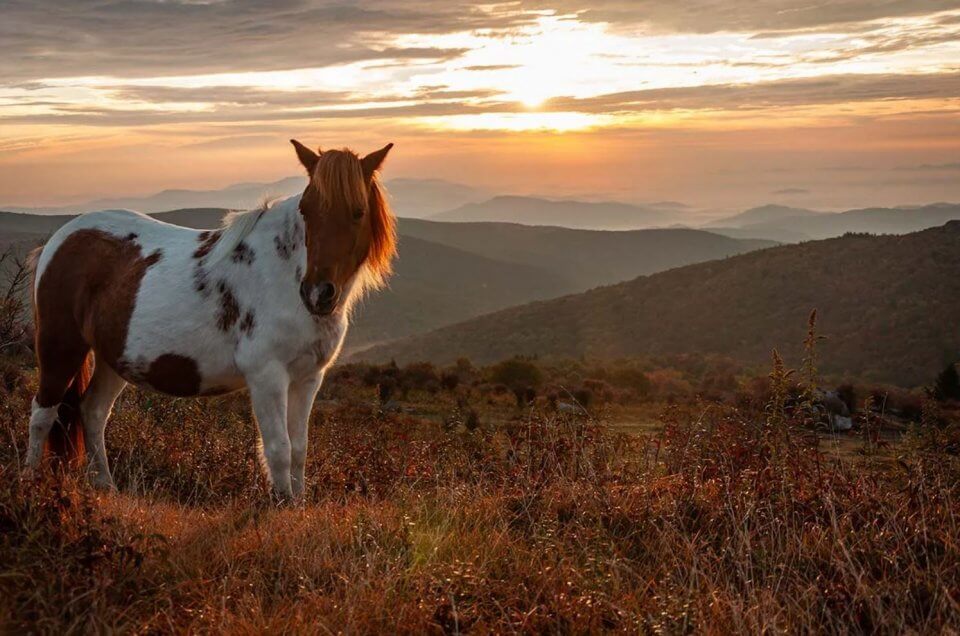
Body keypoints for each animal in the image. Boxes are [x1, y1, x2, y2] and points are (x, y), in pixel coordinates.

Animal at [24, 140, 397, 499]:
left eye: (357, 212)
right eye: (306, 210)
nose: (318, 293)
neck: (284, 273)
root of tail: (61, 238)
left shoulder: (307, 378)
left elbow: (299, 450)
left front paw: (297, 506)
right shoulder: (267, 375)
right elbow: (279, 449)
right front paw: (280, 505)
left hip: (112, 359)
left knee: (93, 411)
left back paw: (105, 485)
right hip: (61, 346)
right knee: (43, 412)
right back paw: (30, 480)